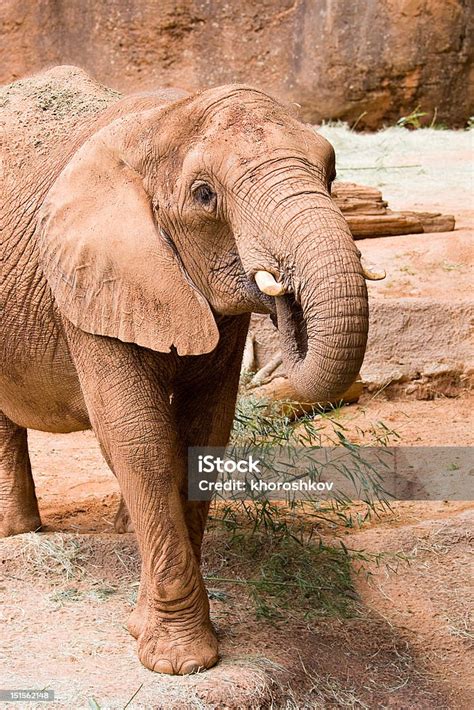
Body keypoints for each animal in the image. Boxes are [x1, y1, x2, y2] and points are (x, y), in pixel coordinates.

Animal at [0, 66, 373, 674]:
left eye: (331, 171)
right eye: (205, 195)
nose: (287, 300)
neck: (165, 121)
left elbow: (204, 434)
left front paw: (152, 628)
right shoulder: (90, 278)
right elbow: (140, 440)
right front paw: (179, 661)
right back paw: (17, 533)